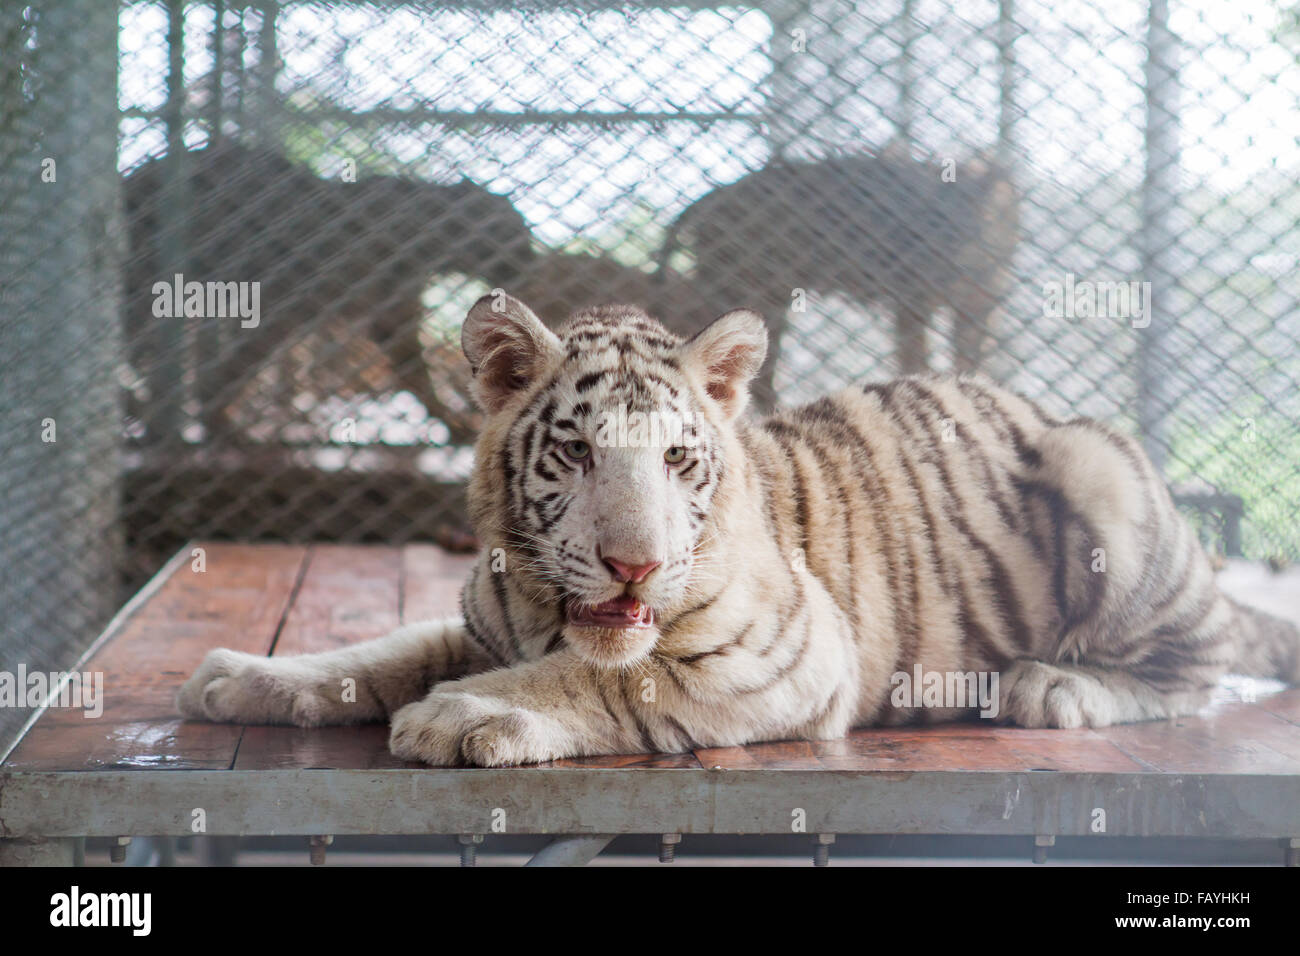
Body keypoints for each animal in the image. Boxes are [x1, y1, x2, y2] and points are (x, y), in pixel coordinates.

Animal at [177, 294, 1300, 766]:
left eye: (677, 458)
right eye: (576, 451)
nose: (635, 564)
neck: (543, 609)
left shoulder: (795, 654)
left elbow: (615, 680)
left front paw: (459, 716)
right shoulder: (482, 621)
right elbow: (382, 650)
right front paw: (242, 677)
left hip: (1099, 466)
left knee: (1194, 668)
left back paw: (1055, 685)